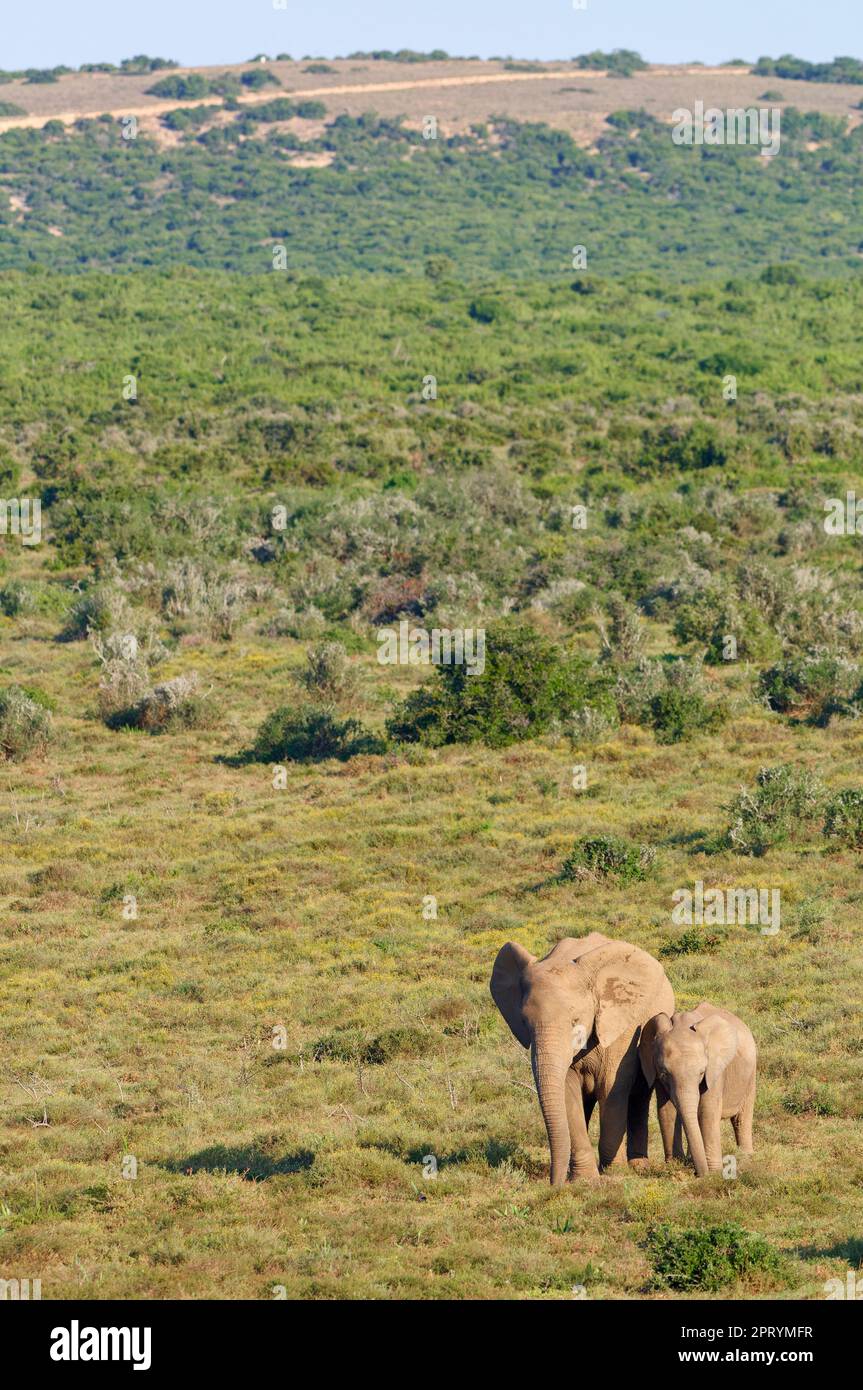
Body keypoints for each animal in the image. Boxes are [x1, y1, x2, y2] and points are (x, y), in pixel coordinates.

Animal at [490, 931, 675, 1186]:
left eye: (575, 1020)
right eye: (525, 1022)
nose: (553, 1185)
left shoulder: (620, 1028)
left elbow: (611, 1087)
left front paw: (613, 1172)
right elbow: (568, 1093)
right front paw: (585, 1179)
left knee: (639, 1096)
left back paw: (638, 1166)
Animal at [638, 1003, 757, 1177]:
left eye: (701, 1072)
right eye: (664, 1073)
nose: (698, 1174)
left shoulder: (715, 1070)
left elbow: (707, 1111)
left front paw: (713, 1173)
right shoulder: (656, 1073)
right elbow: (667, 1111)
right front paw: (675, 1165)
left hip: (751, 1073)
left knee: (742, 1117)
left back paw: (747, 1159)